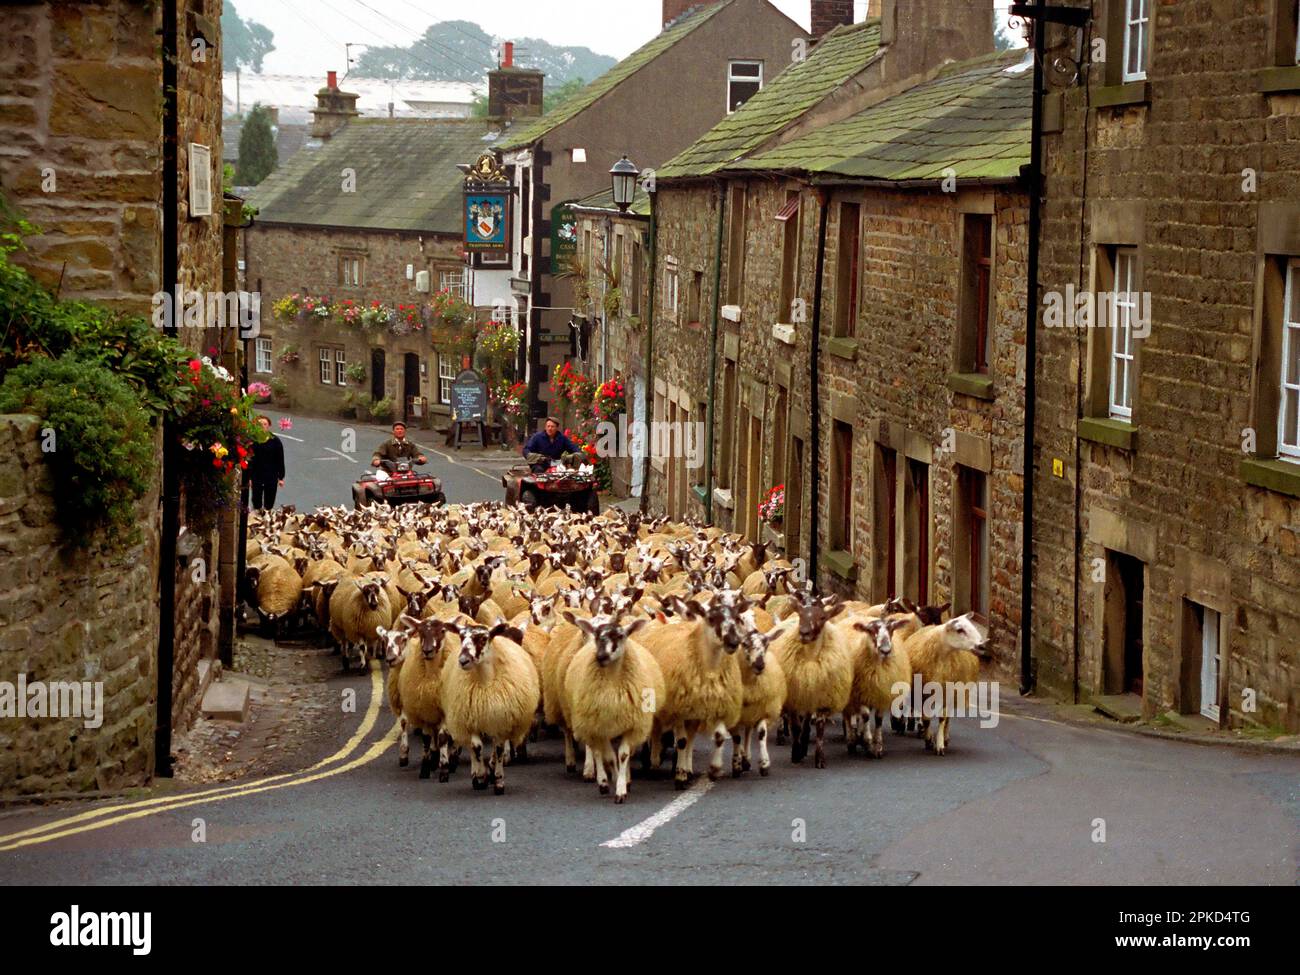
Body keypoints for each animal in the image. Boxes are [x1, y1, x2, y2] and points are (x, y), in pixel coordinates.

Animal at [440, 620, 538, 794]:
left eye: (483, 638)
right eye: (461, 637)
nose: (463, 660)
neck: (485, 684)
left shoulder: (500, 721)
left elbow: (498, 749)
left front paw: (498, 781)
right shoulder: (470, 721)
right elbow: (476, 747)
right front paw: (480, 777)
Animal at [562, 614, 665, 802]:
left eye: (621, 635)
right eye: (596, 635)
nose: (601, 656)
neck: (612, 683)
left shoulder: (632, 725)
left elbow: (623, 755)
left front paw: (622, 788)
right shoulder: (600, 726)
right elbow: (609, 757)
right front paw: (615, 781)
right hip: (590, 725)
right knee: (596, 751)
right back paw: (602, 781)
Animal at [897, 612, 989, 755]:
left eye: (973, 627)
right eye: (960, 630)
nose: (982, 646)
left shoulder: (949, 693)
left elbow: (942, 718)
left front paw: (939, 745)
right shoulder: (923, 694)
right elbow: (926, 719)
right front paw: (929, 740)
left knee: (948, 718)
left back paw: (945, 738)